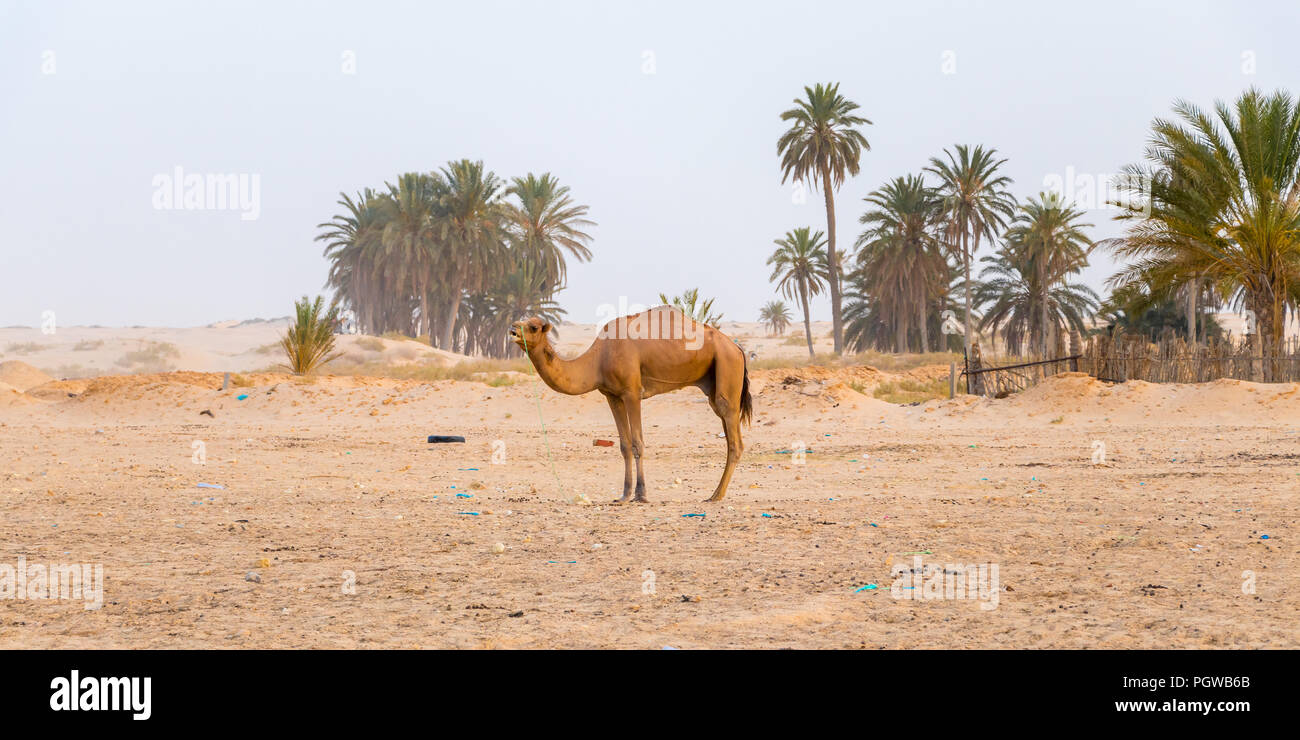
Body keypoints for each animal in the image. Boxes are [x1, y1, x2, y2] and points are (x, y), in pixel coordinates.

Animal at [510, 307, 752, 503]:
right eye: (520, 322)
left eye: (533, 327)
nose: (513, 329)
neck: (598, 359)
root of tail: (738, 349)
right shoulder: (612, 395)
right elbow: (624, 445)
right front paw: (624, 495)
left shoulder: (632, 392)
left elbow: (637, 443)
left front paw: (641, 494)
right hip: (714, 381)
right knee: (729, 434)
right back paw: (715, 493)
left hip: (726, 367)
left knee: (734, 439)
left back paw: (715, 495)